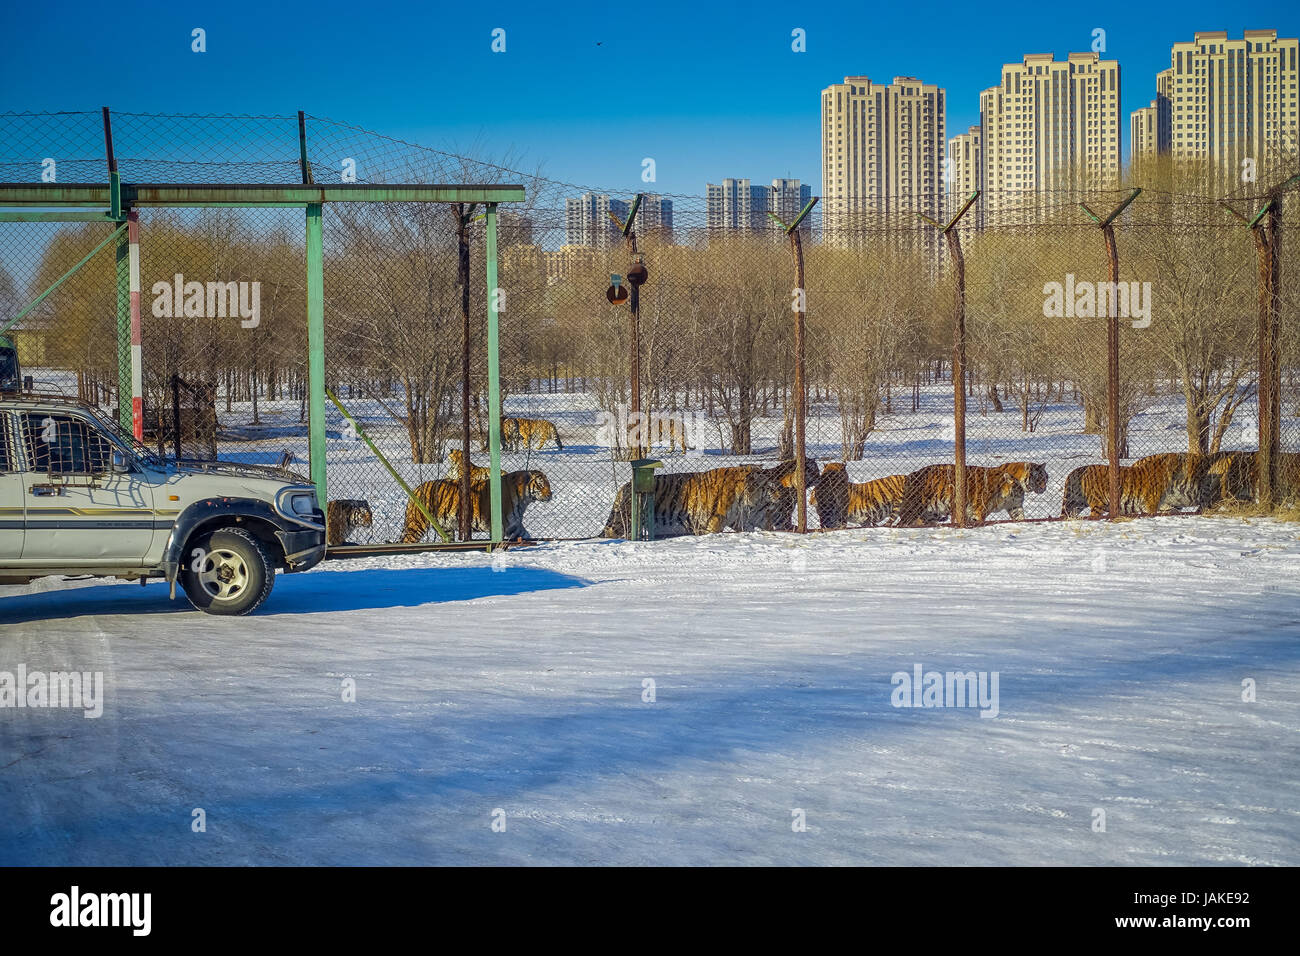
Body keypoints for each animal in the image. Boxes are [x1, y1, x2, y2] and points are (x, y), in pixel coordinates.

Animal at [400, 469, 553, 543]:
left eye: (548, 484)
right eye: (541, 485)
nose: (550, 494)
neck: (524, 500)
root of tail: (417, 488)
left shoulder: (514, 525)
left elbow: (526, 535)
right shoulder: (500, 525)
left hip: (445, 527)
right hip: (417, 524)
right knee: (406, 540)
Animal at [600, 461, 805, 538]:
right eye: (771, 486)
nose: (781, 493)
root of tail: (623, 487)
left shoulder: (742, 520)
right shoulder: (714, 520)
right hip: (624, 520)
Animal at [893, 463, 1022, 527]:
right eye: (1019, 490)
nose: (1022, 500)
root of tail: (909, 476)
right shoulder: (979, 512)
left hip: (931, 513)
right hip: (913, 510)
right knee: (902, 523)